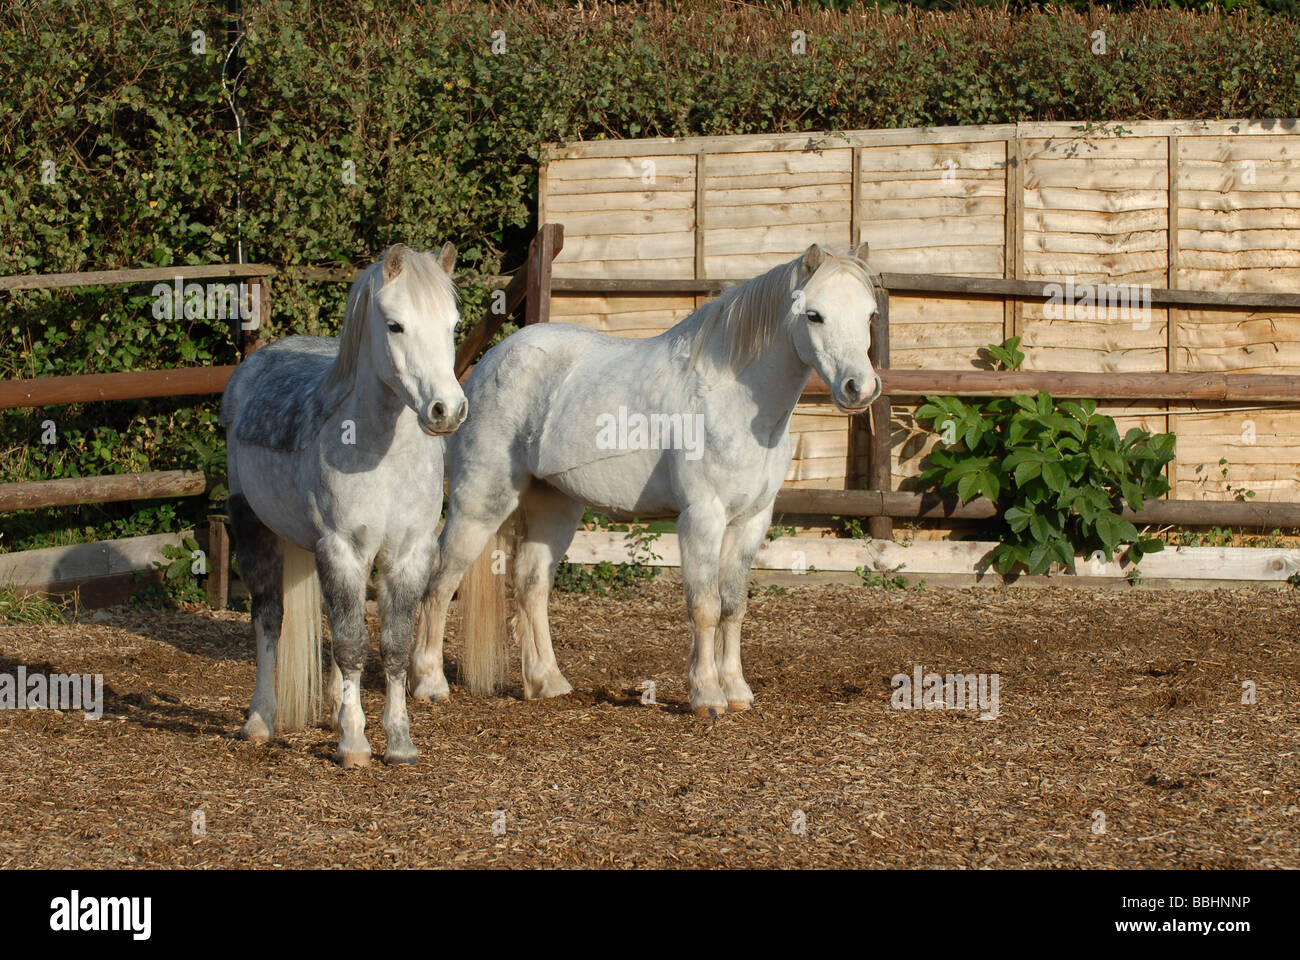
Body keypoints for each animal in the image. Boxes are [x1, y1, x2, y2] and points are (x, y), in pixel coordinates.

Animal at [219, 241, 464, 767]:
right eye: (395, 325)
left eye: (453, 325)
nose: (447, 410)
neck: (380, 453)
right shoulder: (342, 549)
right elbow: (352, 644)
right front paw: (354, 743)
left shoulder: (409, 554)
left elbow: (391, 646)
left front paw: (399, 742)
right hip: (254, 528)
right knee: (269, 620)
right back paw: (260, 721)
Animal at [409, 243, 879, 716]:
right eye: (814, 315)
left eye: (870, 314)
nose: (860, 388)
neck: (735, 400)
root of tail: (485, 367)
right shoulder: (701, 517)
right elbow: (705, 606)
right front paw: (707, 696)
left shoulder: (751, 520)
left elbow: (733, 605)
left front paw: (737, 691)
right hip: (482, 500)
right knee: (440, 581)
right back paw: (428, 683)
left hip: (555, 504)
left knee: (530, 584)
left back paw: (547, 682)